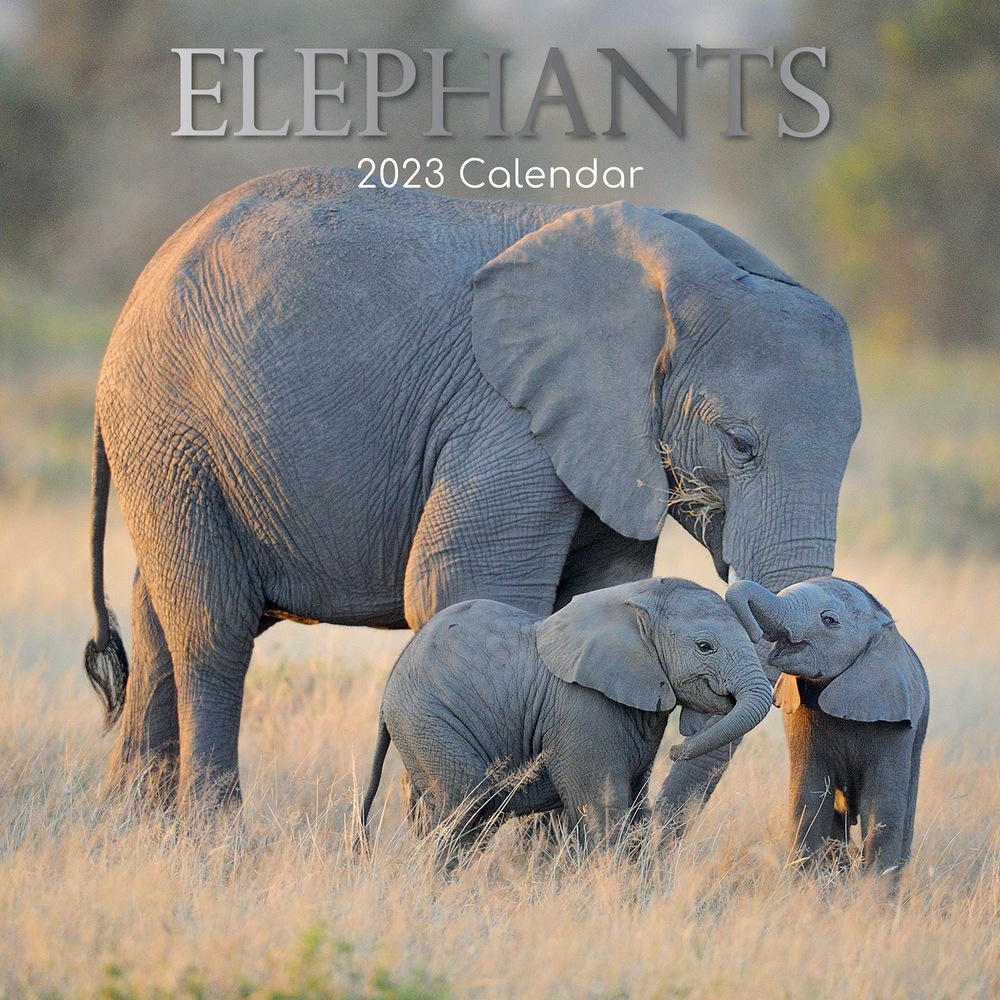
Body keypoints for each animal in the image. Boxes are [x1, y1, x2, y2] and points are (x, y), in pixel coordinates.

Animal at [83, 166, 861, 813]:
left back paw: (132, 828)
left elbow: (596, 595)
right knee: (212, 629)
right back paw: (213, 834)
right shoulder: (505, 418)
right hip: (170, 428)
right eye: (740, 444)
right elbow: (464, 584)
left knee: (157, 618)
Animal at [358, 578, 774, 864]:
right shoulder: (582, 709)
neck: (635, 601)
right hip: (429, 721)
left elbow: (636, 808)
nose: (676, 750)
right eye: (705, 647)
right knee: (467, 808)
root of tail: (390, 685)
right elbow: (603, 808)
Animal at [726, 578, 929, 877]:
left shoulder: (896, 719)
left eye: (829, 620)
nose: (752, 633)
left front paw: (874, 891)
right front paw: (806, 886)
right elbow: (809, 797)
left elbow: (882, 807)